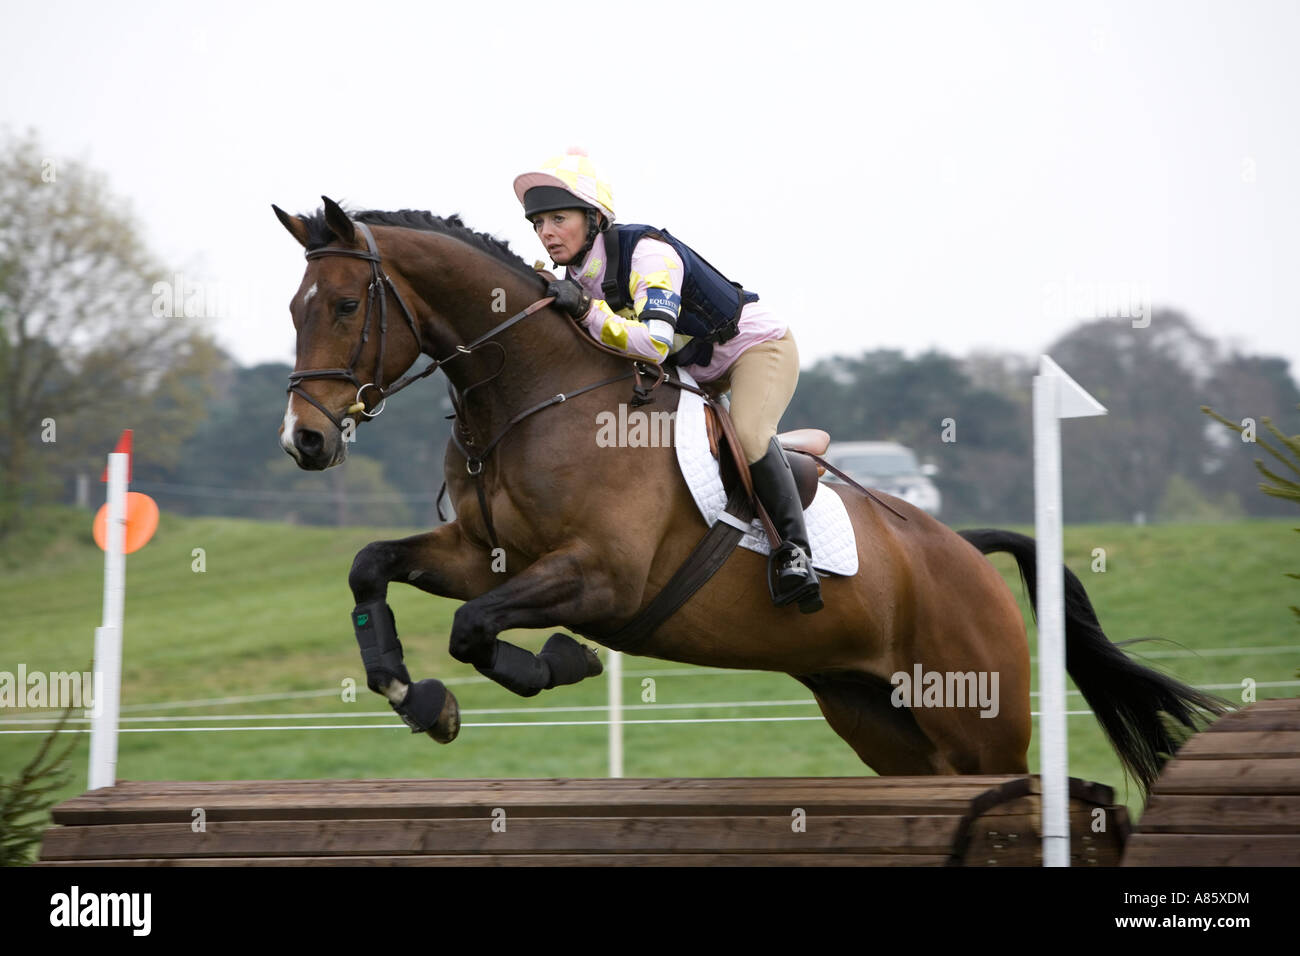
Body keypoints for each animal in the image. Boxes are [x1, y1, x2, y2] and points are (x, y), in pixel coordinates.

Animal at [272, 196, 1226, 794]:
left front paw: (554, 663)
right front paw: (408, 691)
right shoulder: (486, 556)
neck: (532, 397)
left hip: (975, 713)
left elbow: (476, 629)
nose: (305, 441)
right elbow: (371, 566)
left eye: (349, 305)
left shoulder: (602, 578)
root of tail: (964, 551)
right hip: (878, 718)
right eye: (293, 308)